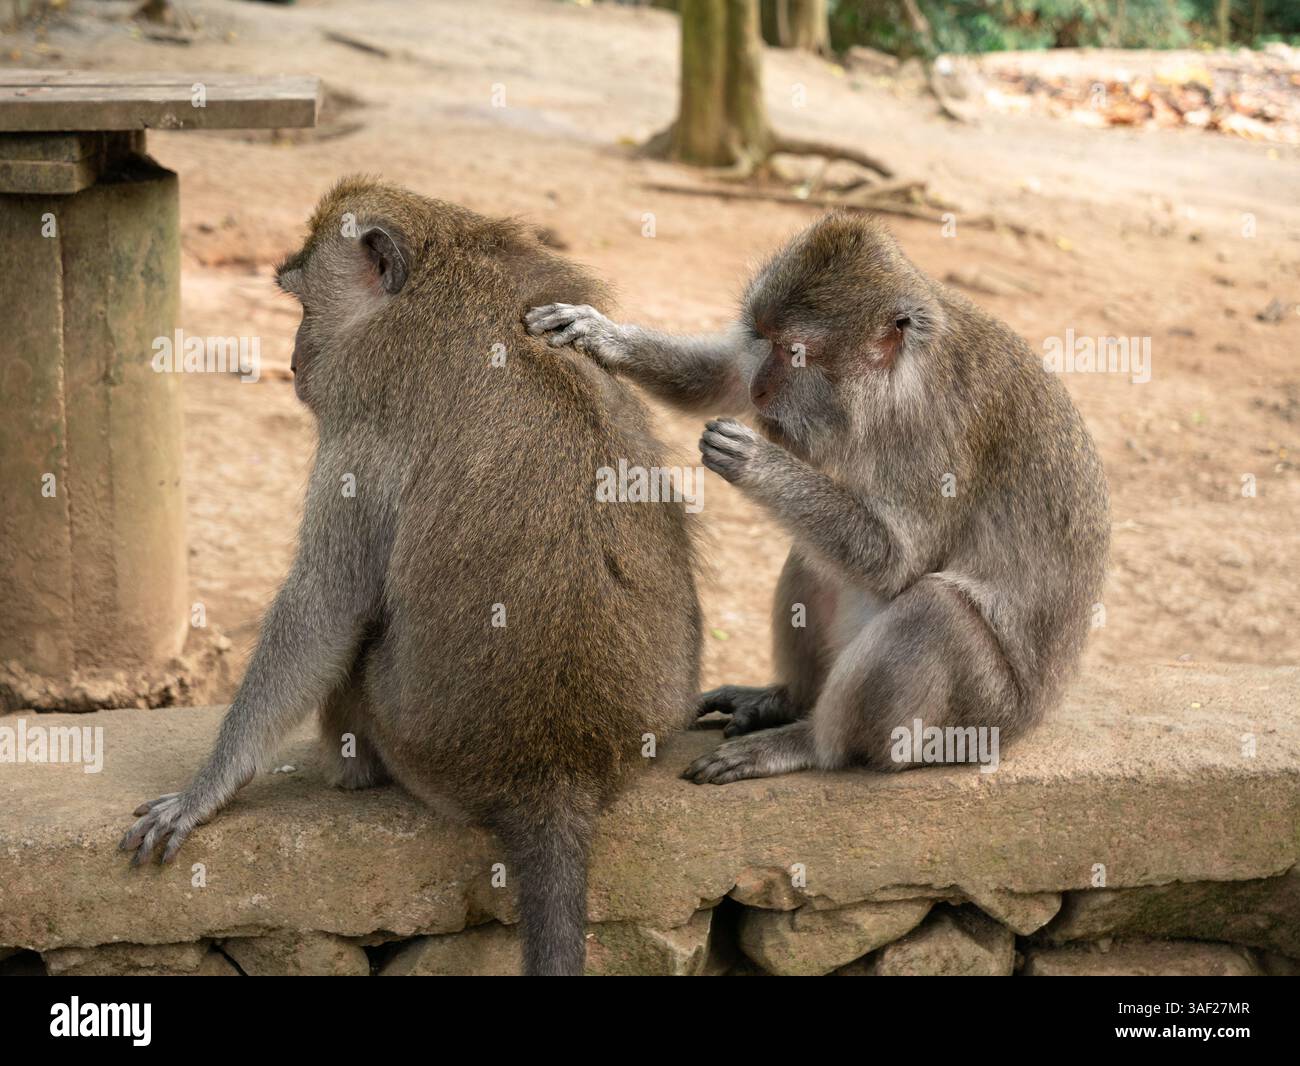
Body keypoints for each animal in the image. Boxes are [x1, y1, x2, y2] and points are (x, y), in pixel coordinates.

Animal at [120, 178, 702, 977]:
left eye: (301, 304)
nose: (293, 358)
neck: (445, 280)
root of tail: (556, 772)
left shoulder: (362, 421)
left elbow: (323, 610)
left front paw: (207, 788)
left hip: (407, 740)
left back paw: (351, 772)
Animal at [526, 212, 1109, 785]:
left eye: (796, 352)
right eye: (764, 339)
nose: (760, 390)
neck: (893, 384)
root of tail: (1027, 723)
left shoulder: (939, 430)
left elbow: (896, 562)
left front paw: (756, 461)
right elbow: (723, 373)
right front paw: (602, 335)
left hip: (974, 720)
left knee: (935, 611)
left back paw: (811, 744)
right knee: (812, 558)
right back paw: (786, 701)